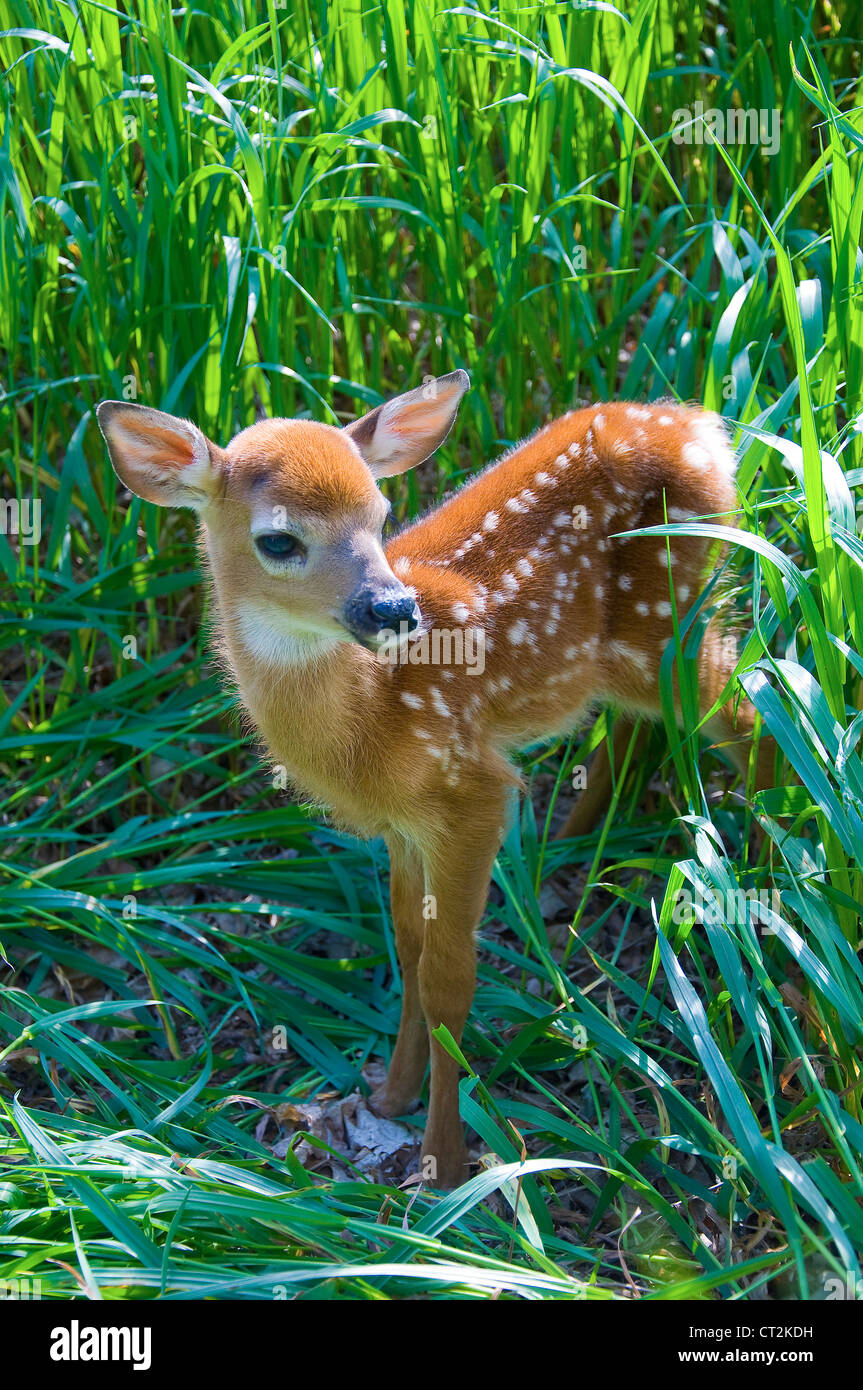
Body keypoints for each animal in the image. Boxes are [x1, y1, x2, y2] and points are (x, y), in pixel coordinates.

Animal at [97, 373, 773, 1189]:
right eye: (279, 540)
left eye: (380, 515)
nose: (393, 608)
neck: (372, 719)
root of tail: (700, 428)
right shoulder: (403, 825)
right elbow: (408, 952)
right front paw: (388, 1097)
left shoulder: (472, 790)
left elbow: (448, 979)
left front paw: (446, 1165)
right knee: (649, 722)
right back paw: (578, 849)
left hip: (668, 616)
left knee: (751, 710)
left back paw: (766, 866)